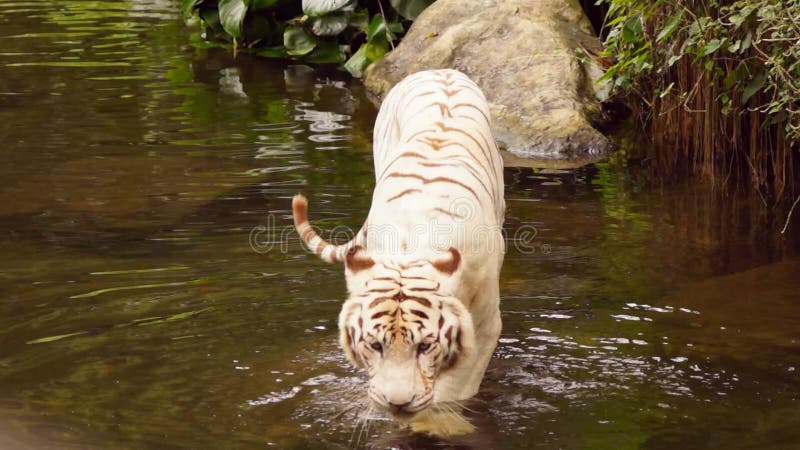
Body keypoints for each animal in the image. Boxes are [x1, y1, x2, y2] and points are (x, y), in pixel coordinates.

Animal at [292, 69, 504, 431]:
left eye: (426, 346)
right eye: (375, 345)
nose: (398, 403)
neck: (411, 249)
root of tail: (439, 70)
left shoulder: (485, 322)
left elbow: (457, 387)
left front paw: (437, 423)